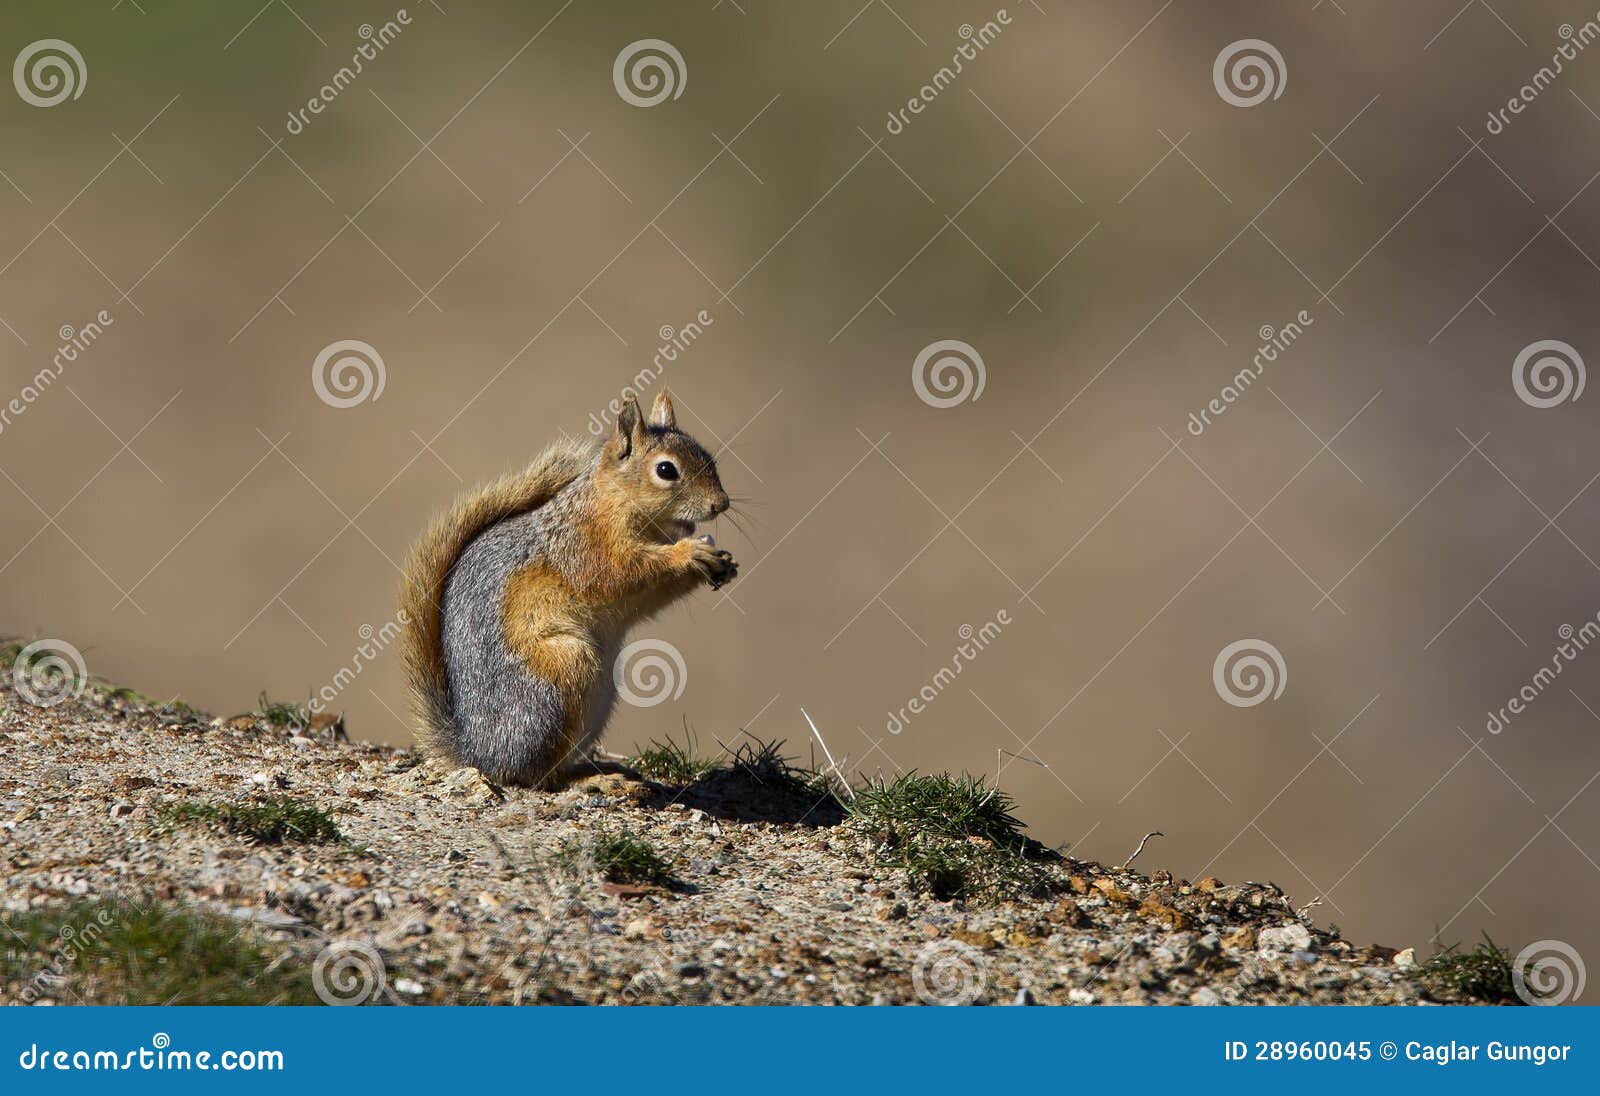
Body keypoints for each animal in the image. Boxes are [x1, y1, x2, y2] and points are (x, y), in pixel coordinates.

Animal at [398, 389, 736, 788]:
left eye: (707, 456)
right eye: (666, 470)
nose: (721, 503)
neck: (612, 502)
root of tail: (481, 754)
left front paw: (722, 562)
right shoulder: (585, 549)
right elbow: (623, 573)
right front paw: (688, 554)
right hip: (562, 674)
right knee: (539, 777)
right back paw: (593, 780)